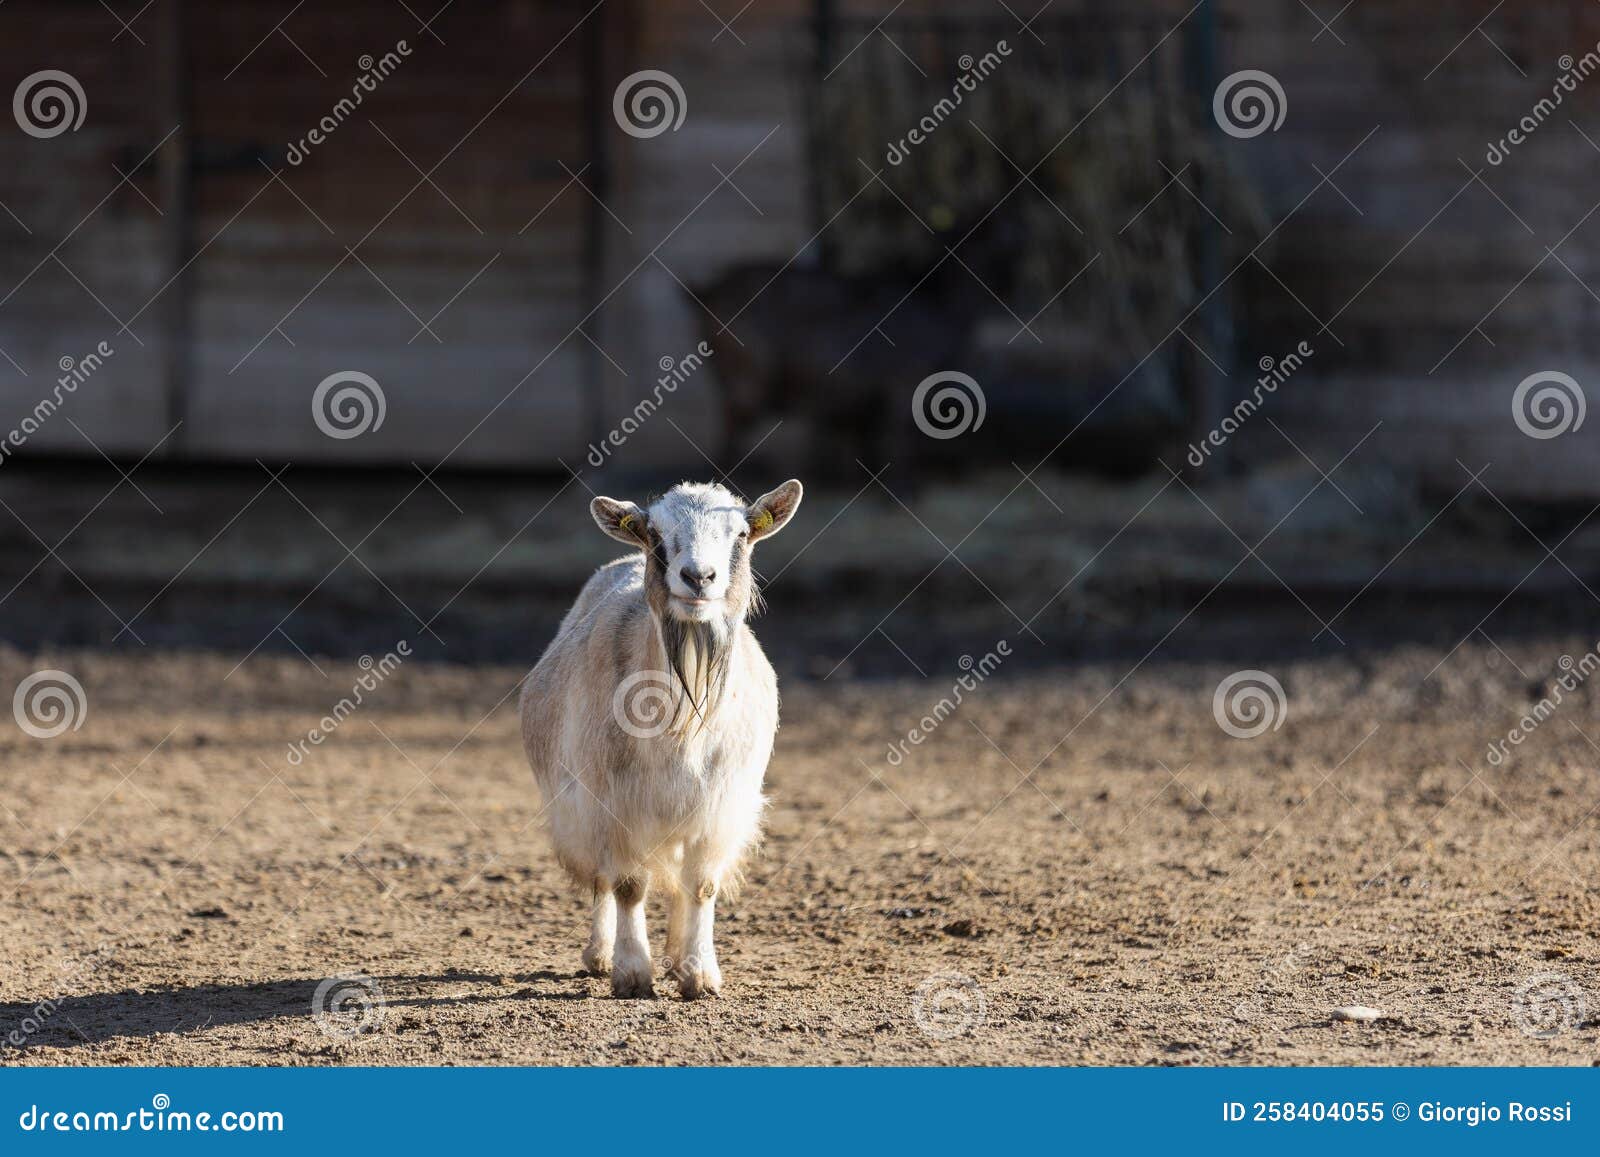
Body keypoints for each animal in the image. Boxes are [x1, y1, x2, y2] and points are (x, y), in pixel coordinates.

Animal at [519, 478, 803, 998]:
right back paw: (600, 954)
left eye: (740, 533)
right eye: (654, 534)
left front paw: (699, 973)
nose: (698, 577)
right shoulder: (612, 803)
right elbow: (628, 885)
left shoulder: (718, 806)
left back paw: (673, 955)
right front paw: (632, 974)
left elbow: (702, 886)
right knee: (601, 882)